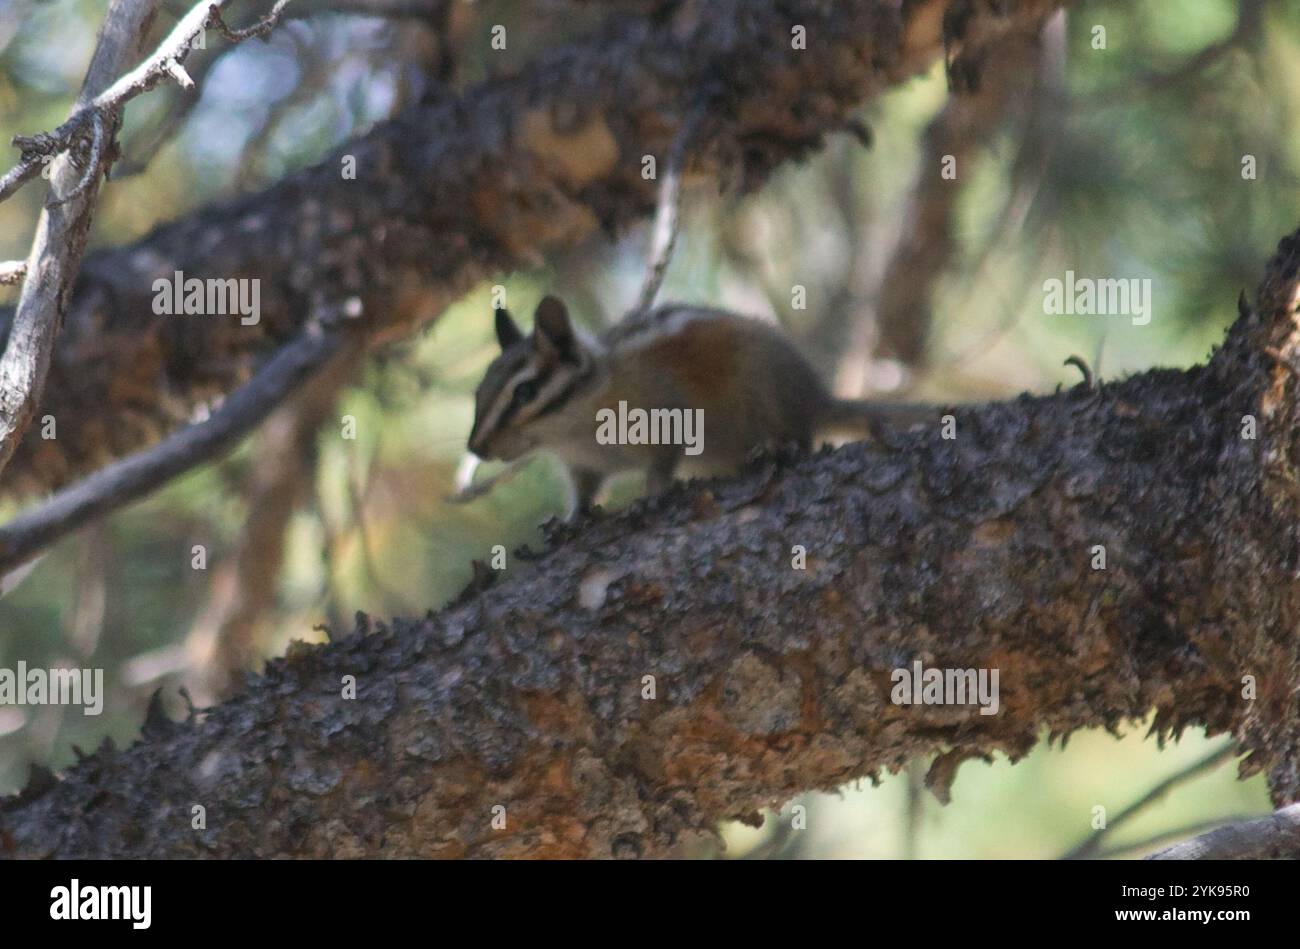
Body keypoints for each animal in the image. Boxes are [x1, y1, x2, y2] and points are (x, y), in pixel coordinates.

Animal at [467, 295, 930, 515]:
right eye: (478, 390)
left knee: (801, 436)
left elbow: (661, 464)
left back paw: (779, 447)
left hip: (762, 388)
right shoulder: (583, 466)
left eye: (524, 392)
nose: (476, 447)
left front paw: (652, 496)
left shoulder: (665, 418)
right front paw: (571, 519)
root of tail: (815, 397)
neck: (572, 427)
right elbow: (583, 494)